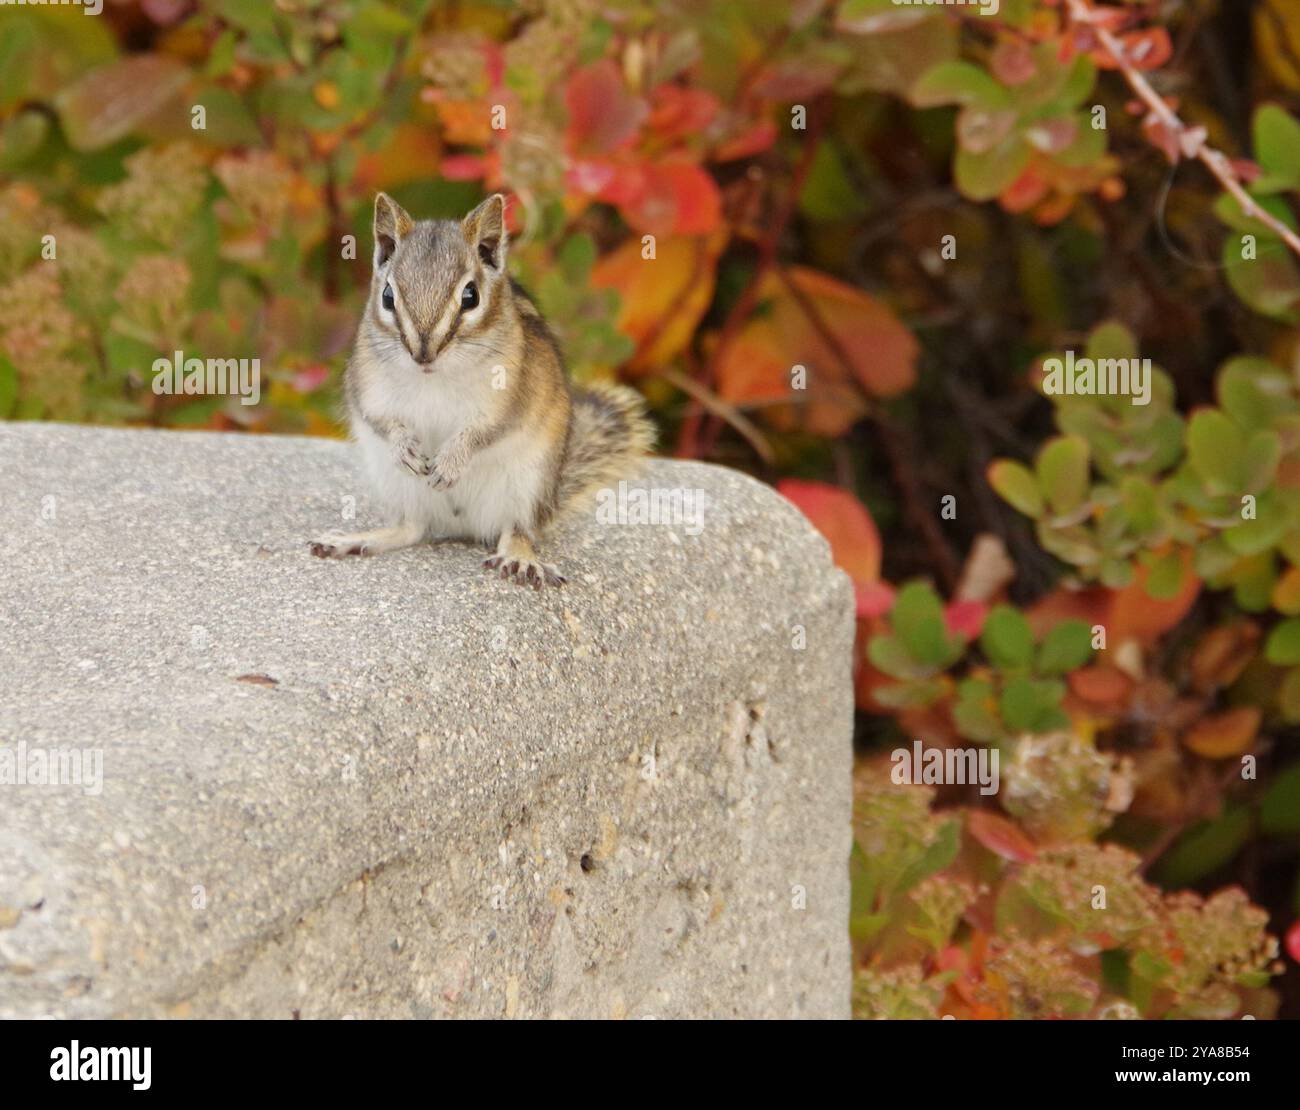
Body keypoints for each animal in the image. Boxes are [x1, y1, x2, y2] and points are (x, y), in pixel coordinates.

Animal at [310, 193, 654, 587]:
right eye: (387, 296)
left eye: (471, 296)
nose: (423, 353)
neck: (434, 377)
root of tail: (462, 523)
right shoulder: (368, 388)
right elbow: (380, 420)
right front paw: (404, 446)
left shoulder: (510, 398)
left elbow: (484, 431)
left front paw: (451, 460)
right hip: (396, 484)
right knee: (411, 529)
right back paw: (353, 540)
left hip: (527, 484)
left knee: (516, 531)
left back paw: (520, 559)